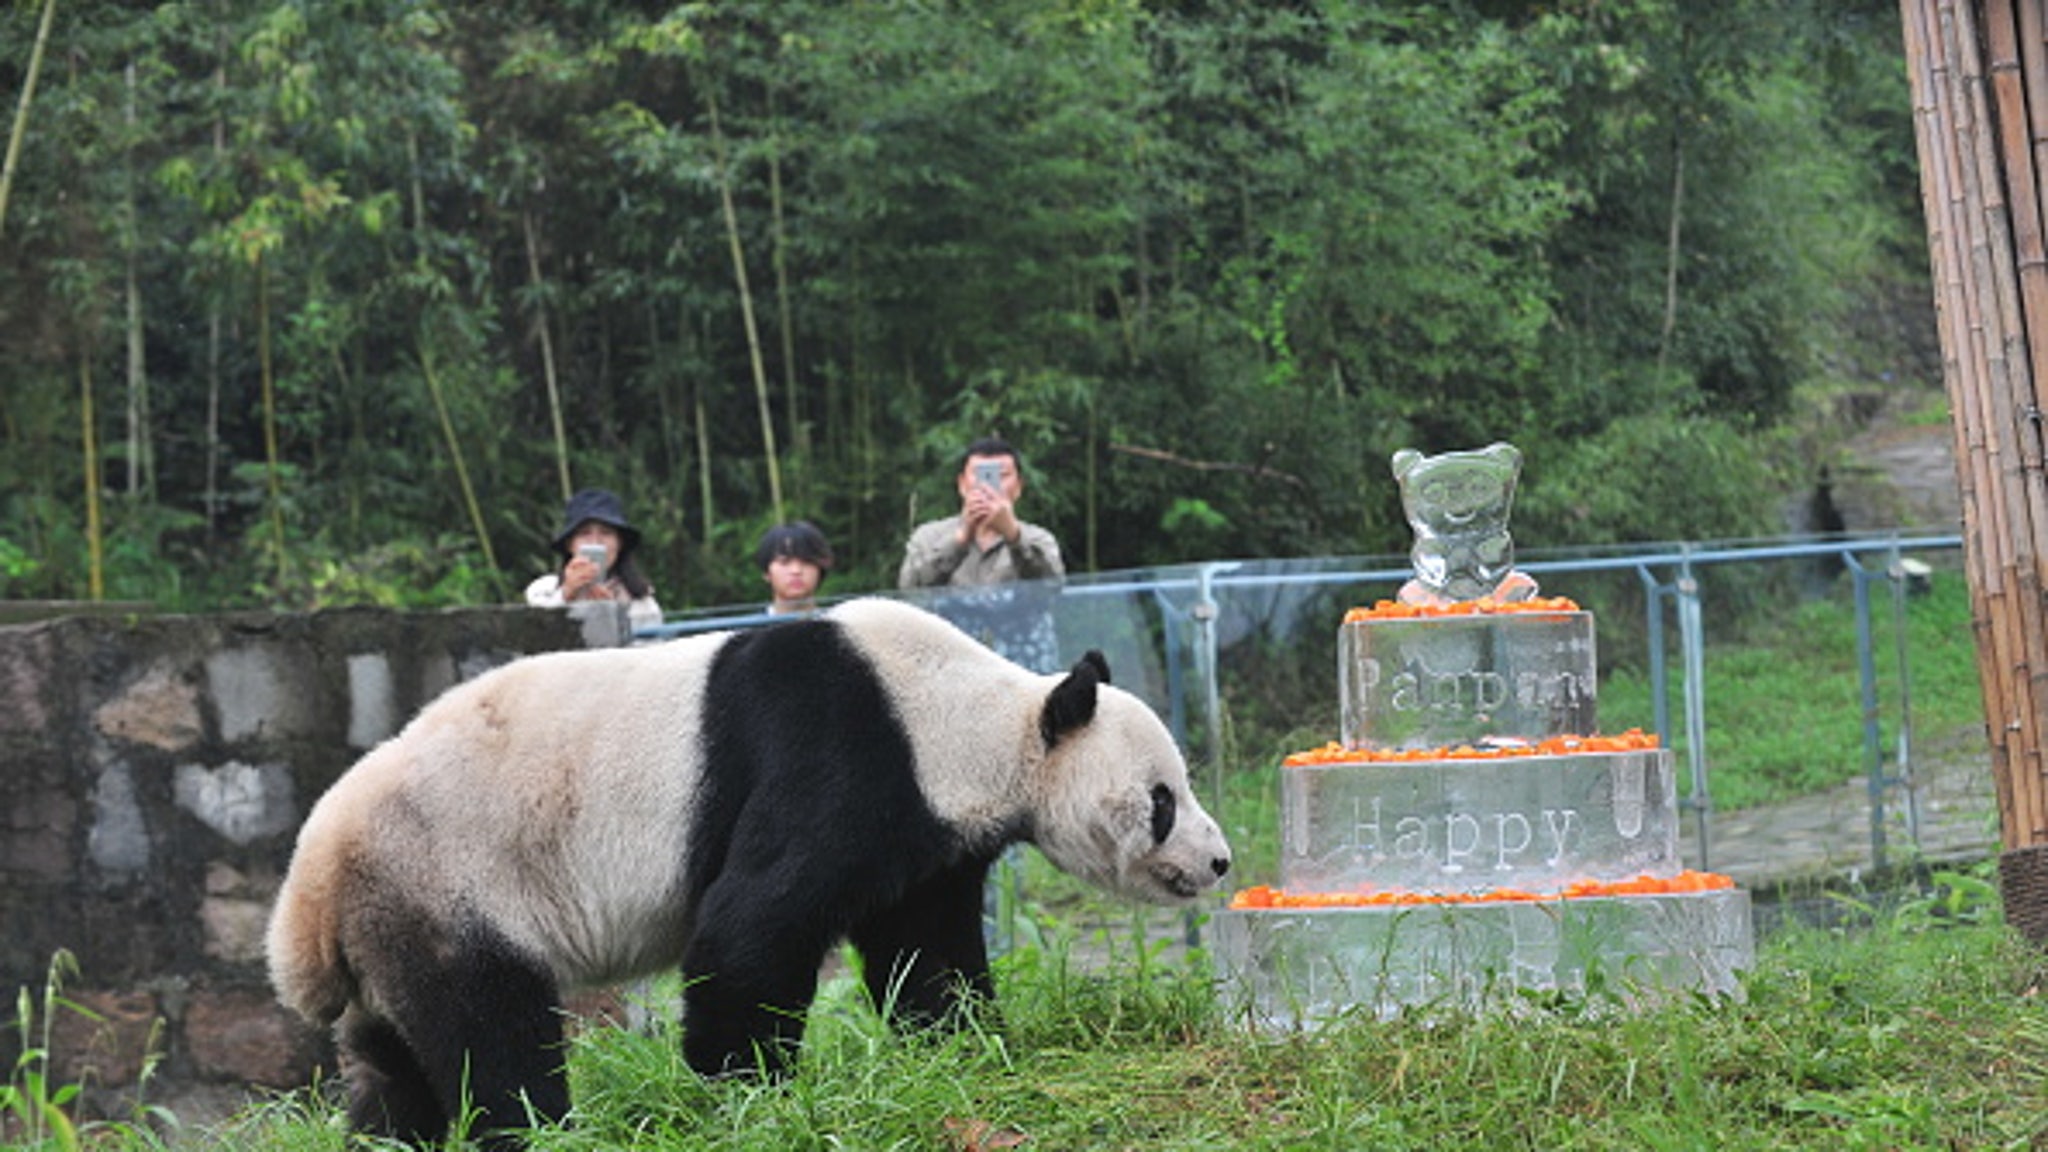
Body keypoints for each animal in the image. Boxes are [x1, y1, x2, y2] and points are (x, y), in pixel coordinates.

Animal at [266, 597, 1232, 1146]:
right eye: (1163, 800)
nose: (1219, 861)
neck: (971, 714)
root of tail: (309, 887)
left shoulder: (928, 832)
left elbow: (926, 948)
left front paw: (963, 1042)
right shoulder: (844, 752)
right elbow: (752, 922)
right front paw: (744, 1086)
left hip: (389, 920)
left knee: (396, 1057)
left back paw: (394, 1136)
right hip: (449, 878)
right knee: (489, 1029)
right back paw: (539, 1129)